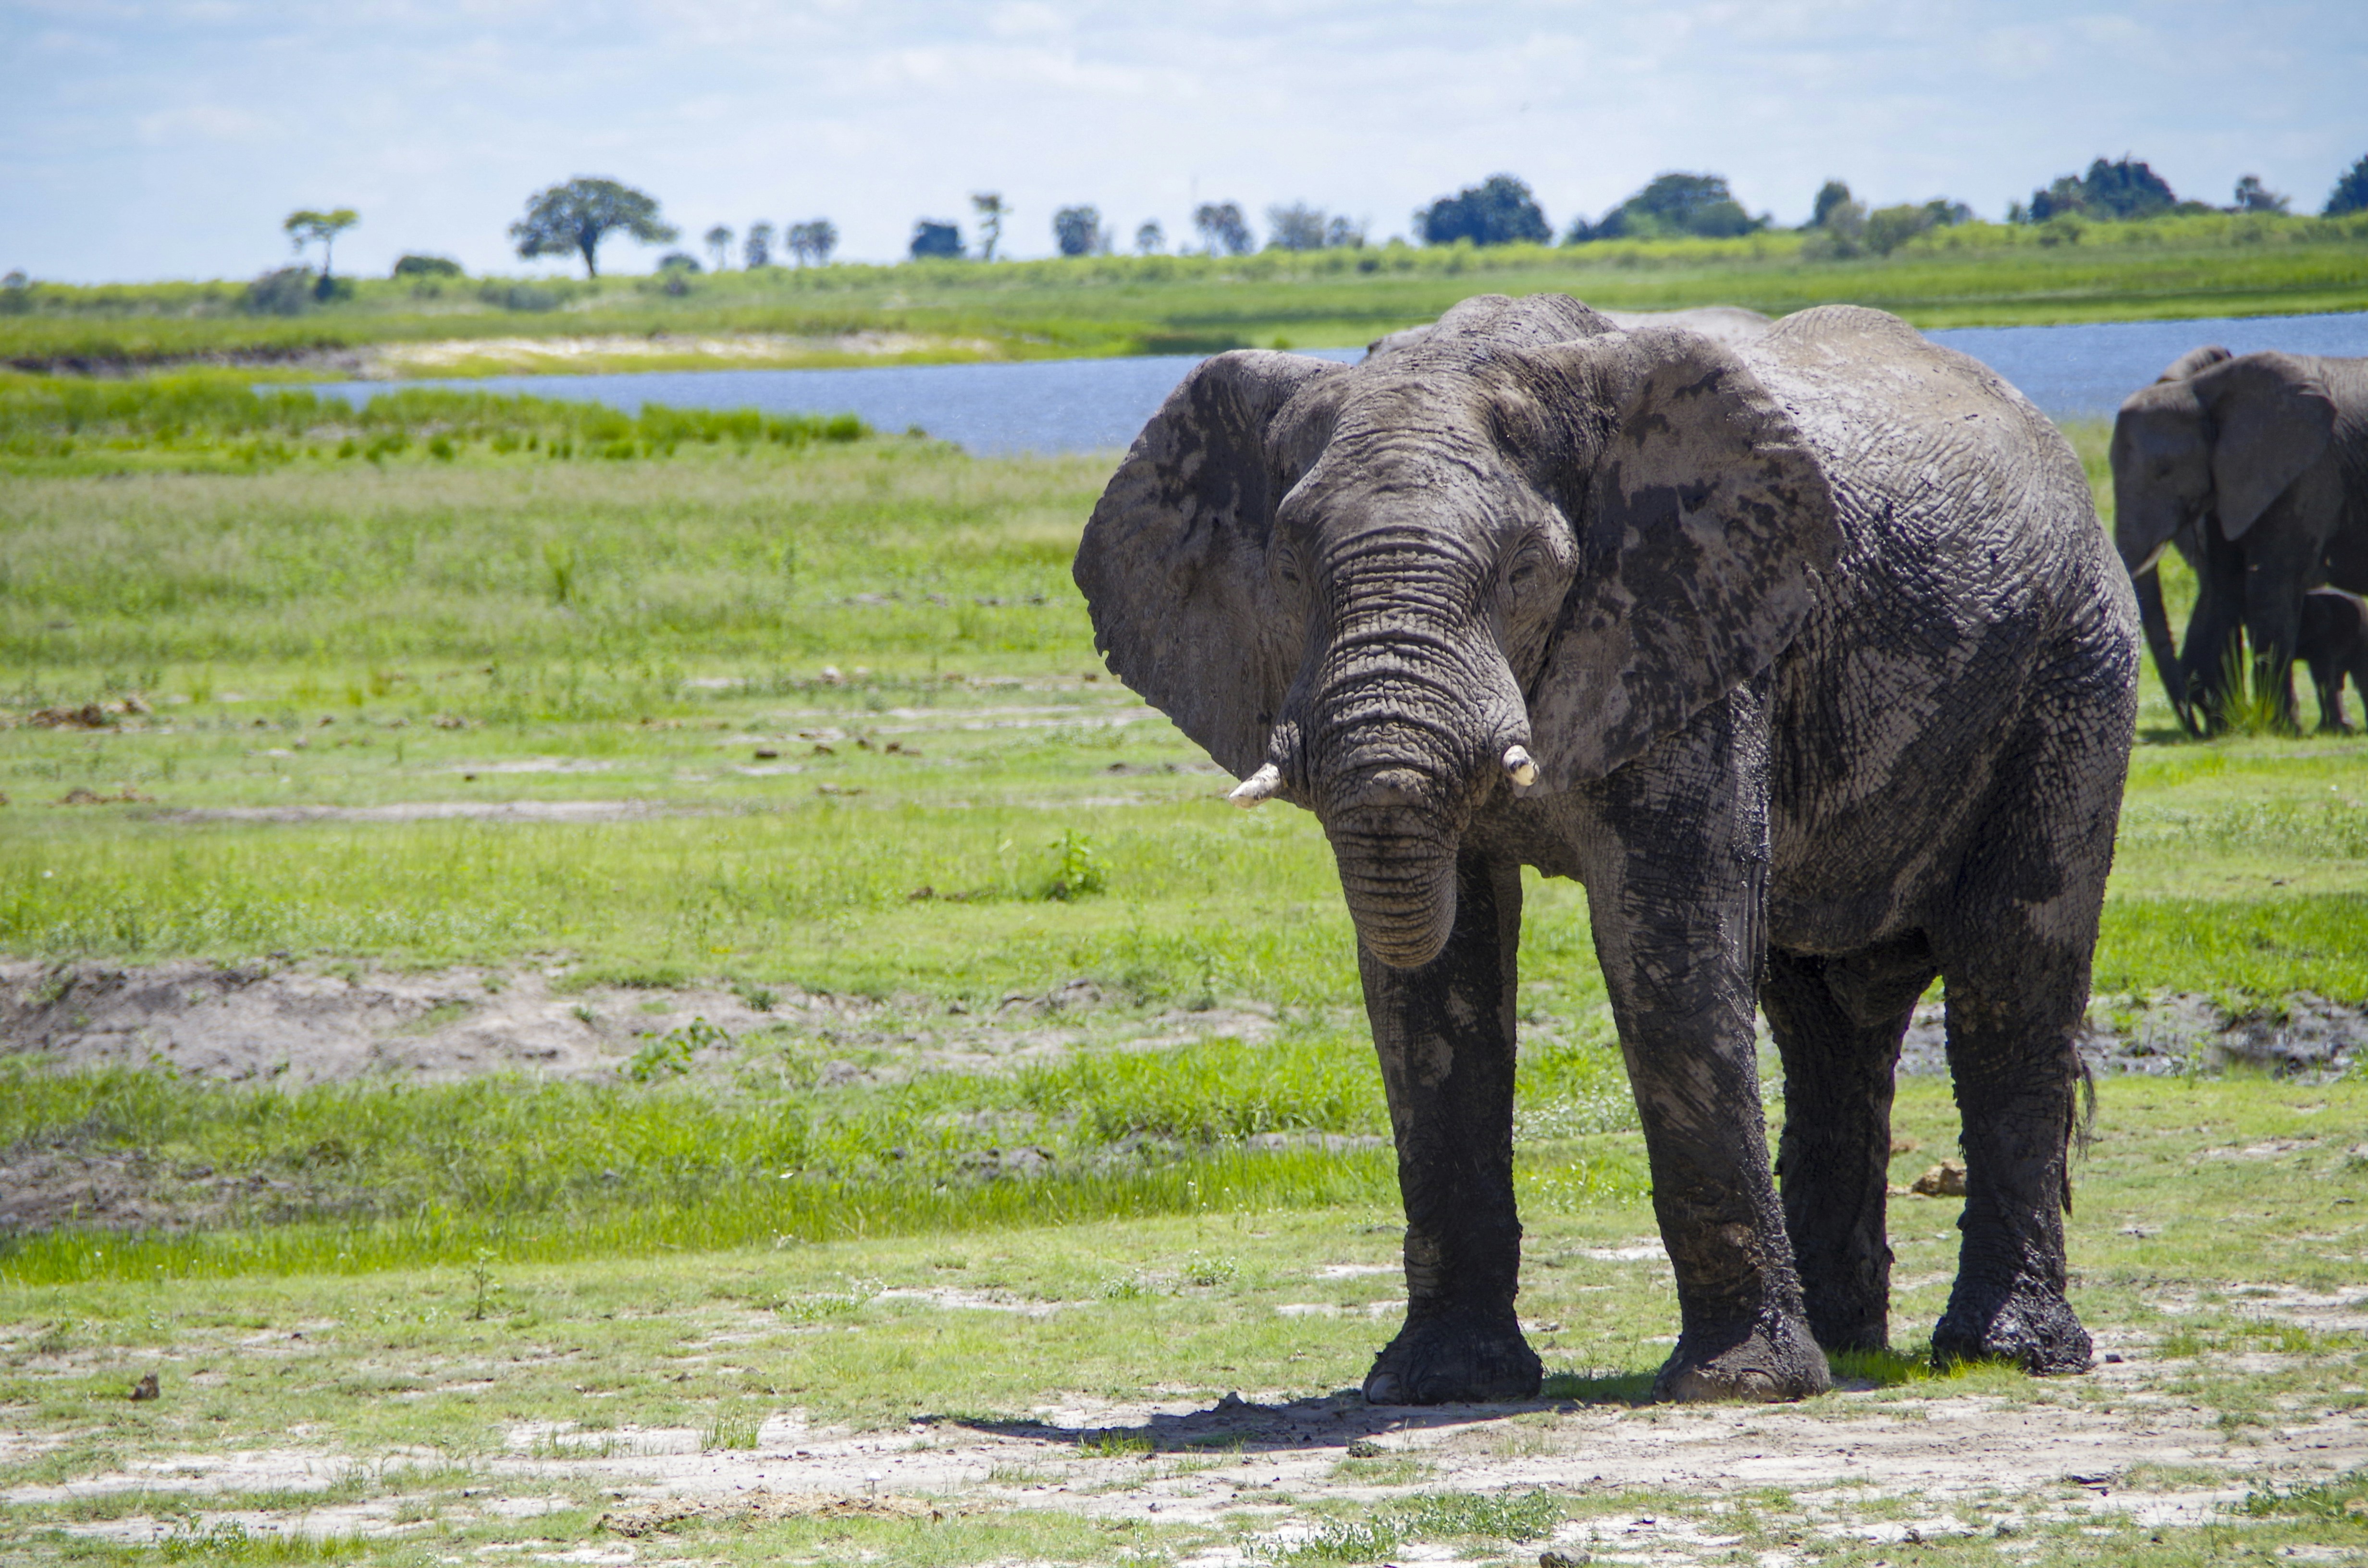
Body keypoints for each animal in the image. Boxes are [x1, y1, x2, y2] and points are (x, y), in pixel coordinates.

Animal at [1074, 294, 2138, 1405]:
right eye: (1285, 570)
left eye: (1522, 571)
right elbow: (1437, 986)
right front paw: (1440, 1385)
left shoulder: (1694, 628)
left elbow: (1668, 953)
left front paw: (1735, 1387)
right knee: (1829, 1017)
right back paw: (1846, 1347)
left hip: (2072, 666)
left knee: (2012, 971)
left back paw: (2000, 1353)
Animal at [2111, 345, 2368, 733]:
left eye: (2164, 472)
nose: (2193, 732)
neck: (2199, 391)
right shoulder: (2230, 482)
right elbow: (2225, 586)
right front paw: (2230, 723)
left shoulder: (2306, 471)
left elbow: (2271, 583)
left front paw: (2280, 727)